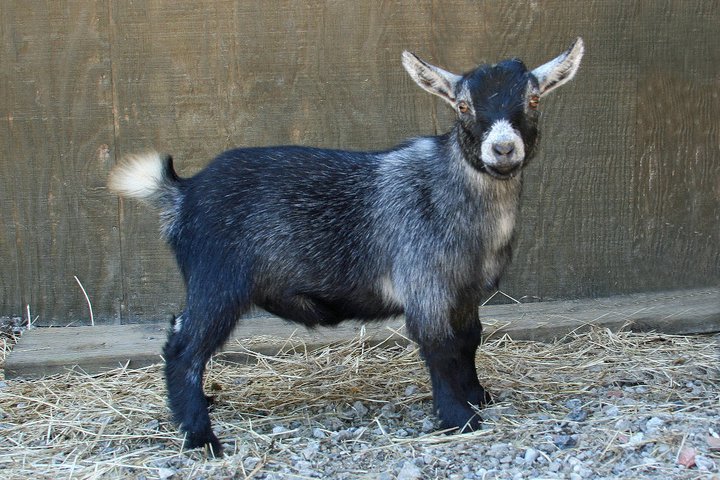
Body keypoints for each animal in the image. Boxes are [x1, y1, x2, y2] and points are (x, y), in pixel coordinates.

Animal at [108, 38, 584, 454]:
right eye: (463, 105)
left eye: (534, 100)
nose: (503, 149)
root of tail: (183, 193)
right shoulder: (425, 283)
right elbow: (440, 347)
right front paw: (460, 419)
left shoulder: (465, 292)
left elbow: (469, 340)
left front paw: (477, 396)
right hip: (217, 281)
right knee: (184, 349)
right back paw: (201, 438)